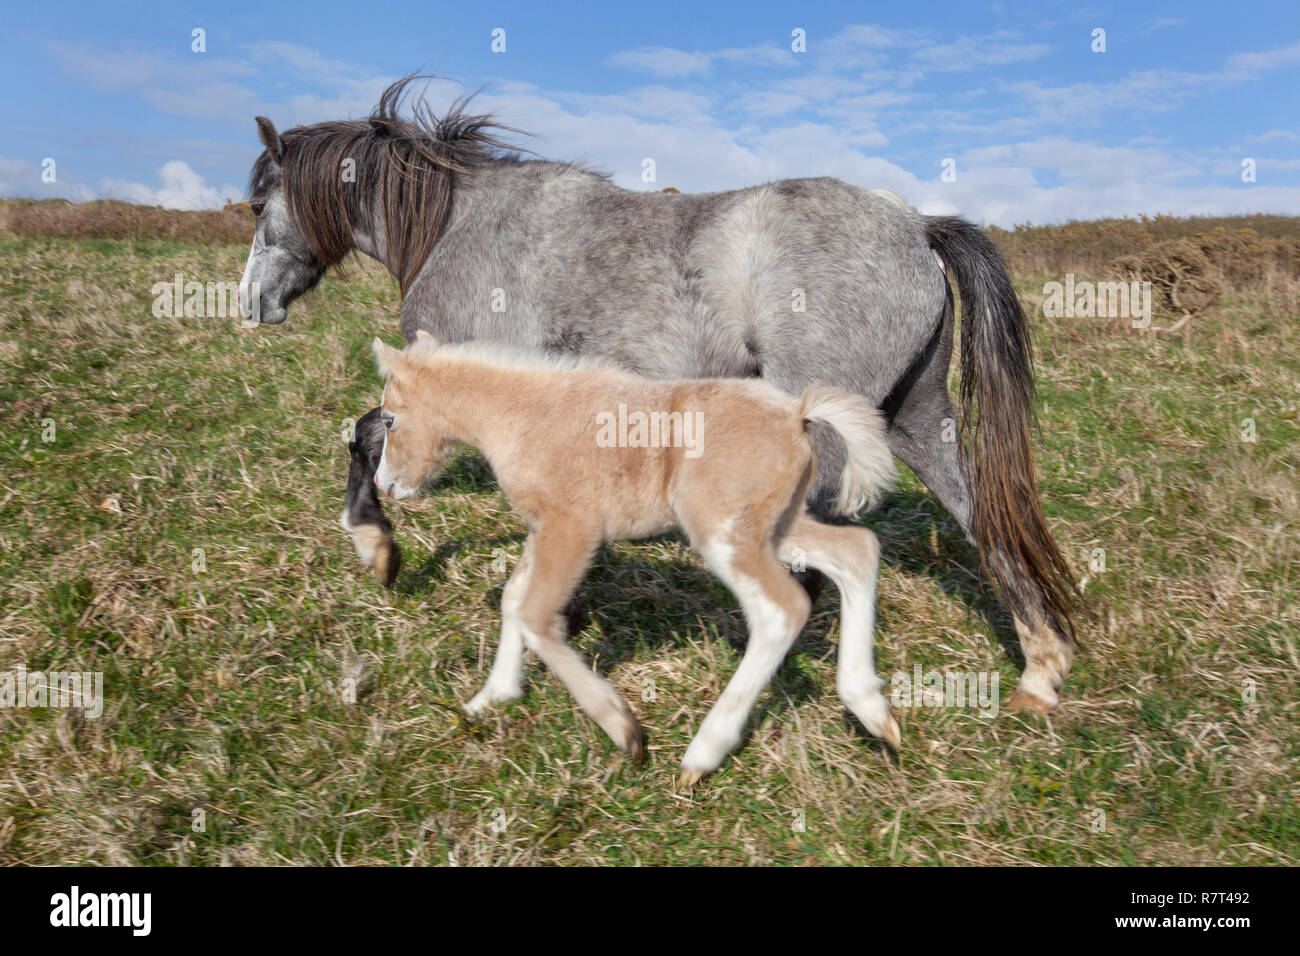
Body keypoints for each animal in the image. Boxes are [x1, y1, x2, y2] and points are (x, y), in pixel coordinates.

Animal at [239, 76, 1078, 715]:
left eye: (256, 206)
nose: (251, 303)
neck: (457, 224)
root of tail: (916, 224)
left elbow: (366, 431)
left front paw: (377, 545)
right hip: (916, 419)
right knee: (983, 520)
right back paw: (1040, 670)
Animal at [371, 330, 898, 783]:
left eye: (390, 419)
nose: (385, 484)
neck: (524, 416)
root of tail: (797, 413)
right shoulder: (542, 529)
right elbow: (513, 598)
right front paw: (492, 696)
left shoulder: (572, 527)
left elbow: (535, 613)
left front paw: (623, 728)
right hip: (775, 525)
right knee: (857, 551)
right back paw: (872, 709)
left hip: (720, 530)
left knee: (781, 610)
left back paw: (704, 753)